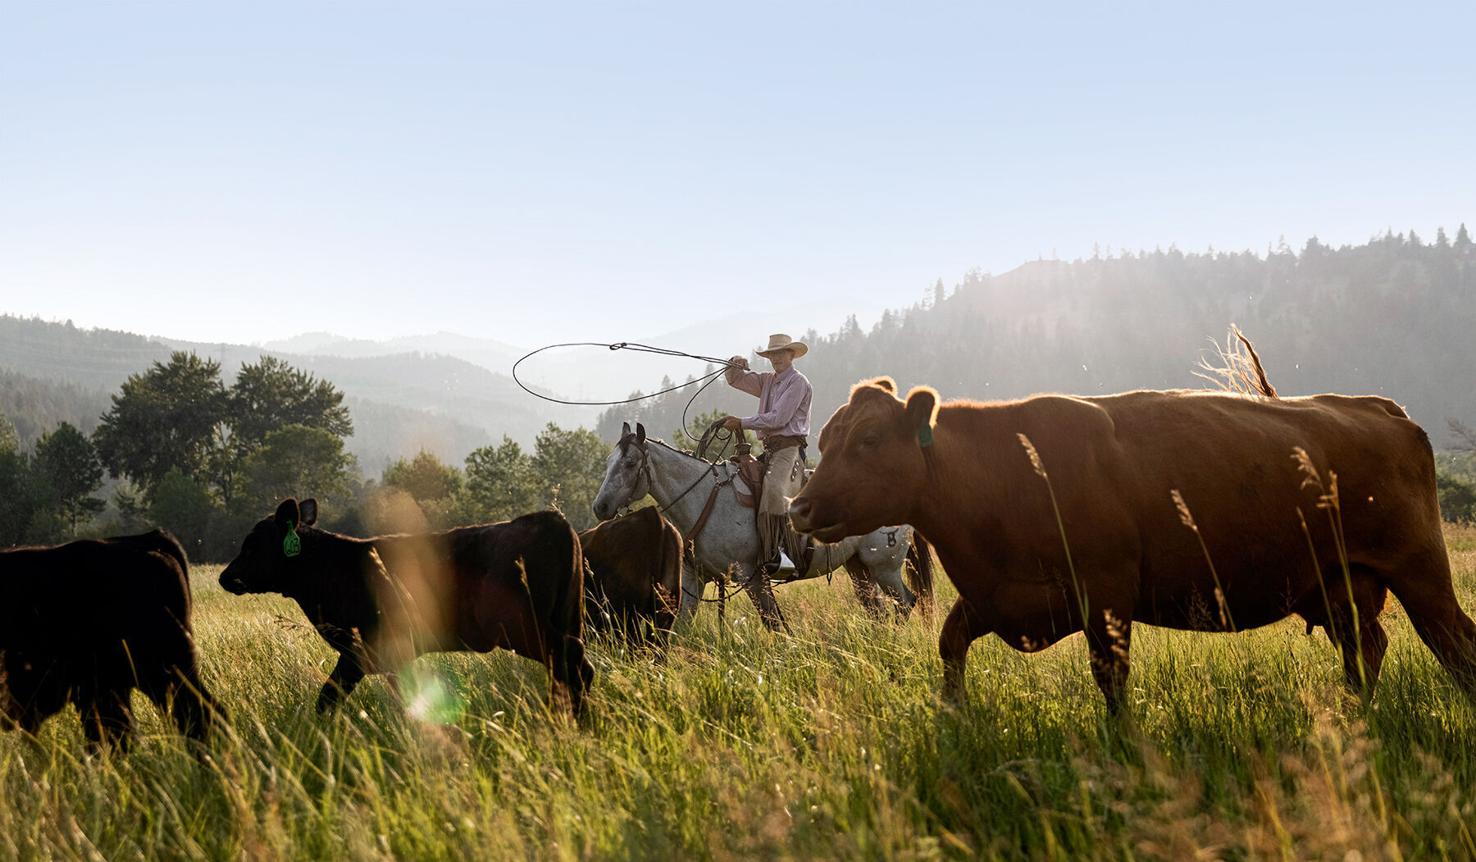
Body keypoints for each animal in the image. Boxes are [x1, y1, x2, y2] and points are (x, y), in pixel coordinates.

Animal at [218, 499, 595, 717]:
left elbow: (336, 699)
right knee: (572, 668)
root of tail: (549, 519)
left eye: (253, 545)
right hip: (562, 618)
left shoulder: (371, 649)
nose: (226, 576)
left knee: (571, 659)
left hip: (522, 625)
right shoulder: (371, 657)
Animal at [788, 377, 1476, 713]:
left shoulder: (1106, 599)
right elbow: (949, 645)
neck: (1004, 468)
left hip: (1422, 576)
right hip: (1339, 590)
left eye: (869, 439)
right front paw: (953, 717)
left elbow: (1111, 681)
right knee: (1368, 649)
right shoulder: (996, 598)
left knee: (1456, 647)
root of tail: (1379, 408)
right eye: (825, 439)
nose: (800, 508)